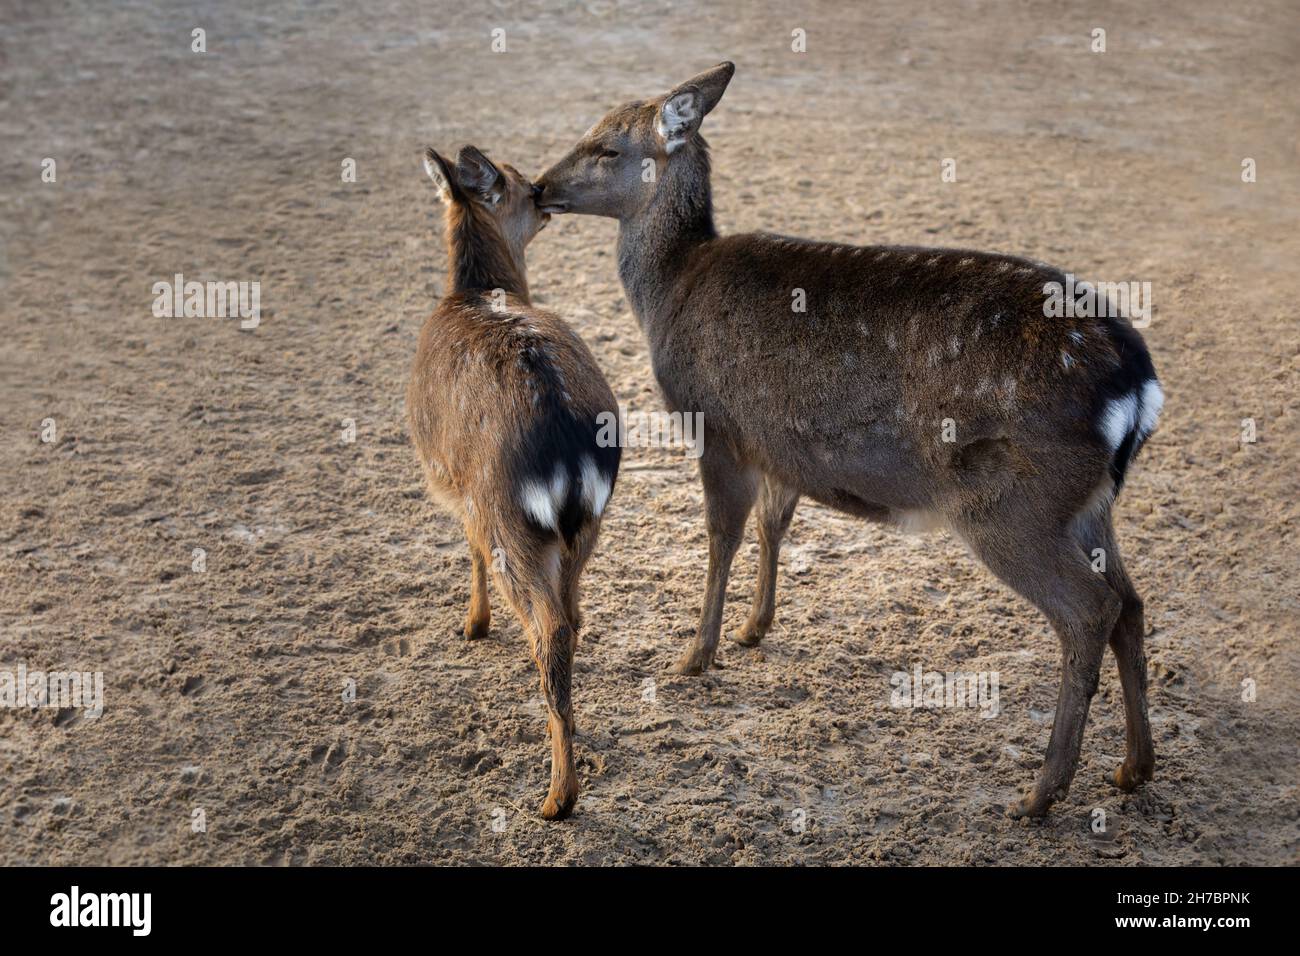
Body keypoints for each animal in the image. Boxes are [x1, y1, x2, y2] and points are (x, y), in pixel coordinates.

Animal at [408, 144, 620, 820]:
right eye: (528, 186)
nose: (548, 192)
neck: (474, 290)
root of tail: (568, 448)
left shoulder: (450, 483)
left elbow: (468, 550)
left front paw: (471, 625)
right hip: (588, 525)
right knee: (571, 617)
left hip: (506, 516)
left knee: (549, 627)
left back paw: (557, 798)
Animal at [535, 63, 1164, 818]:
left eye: (605, 146)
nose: (537, 186)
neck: (670, 293)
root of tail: (1138, 386)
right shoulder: (781, 446)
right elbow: (774, 526)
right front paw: (754, 629)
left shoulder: (715, 422)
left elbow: (721, 535)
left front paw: (695, 655)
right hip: (1090, 503)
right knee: (1131, 603)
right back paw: (1134, 768)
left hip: (1013, 504)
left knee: (1089, 610)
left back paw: (1039, 795)